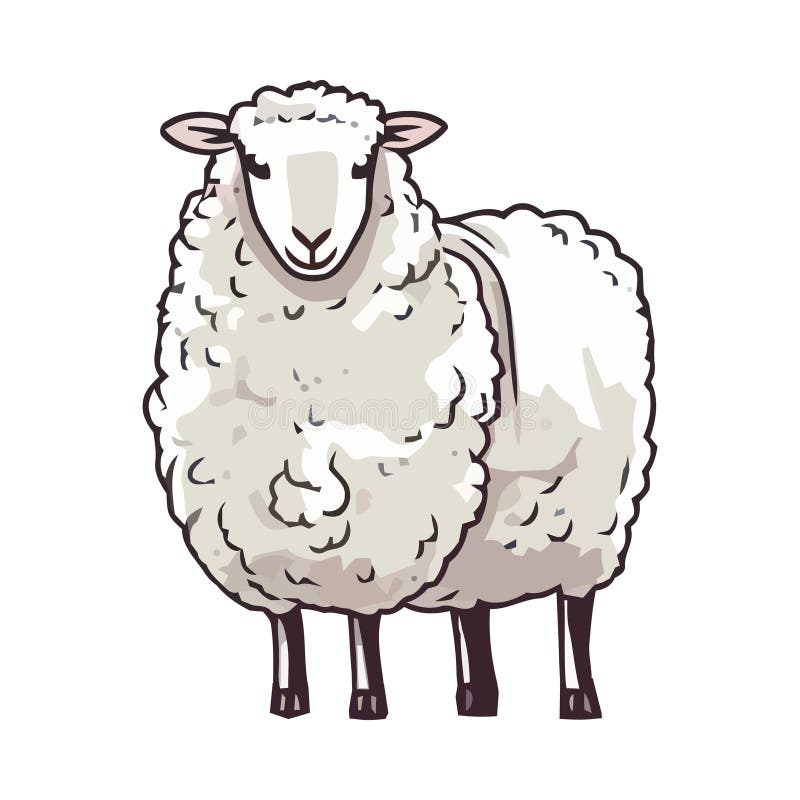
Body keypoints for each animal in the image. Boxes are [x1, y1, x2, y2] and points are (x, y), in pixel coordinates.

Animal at [145, 80, 655, 721]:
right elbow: (285, 620)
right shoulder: (243, 518)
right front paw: (288, 700)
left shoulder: (383, 510)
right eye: (256, 163)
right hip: (487, 534)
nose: (312, 243)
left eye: (364, 163)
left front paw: (367, 701)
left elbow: (363, 619)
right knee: (472, 608)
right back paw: (476, 698)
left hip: (590, 506)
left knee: (576, 604)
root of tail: (550, 223)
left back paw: (577, 698)